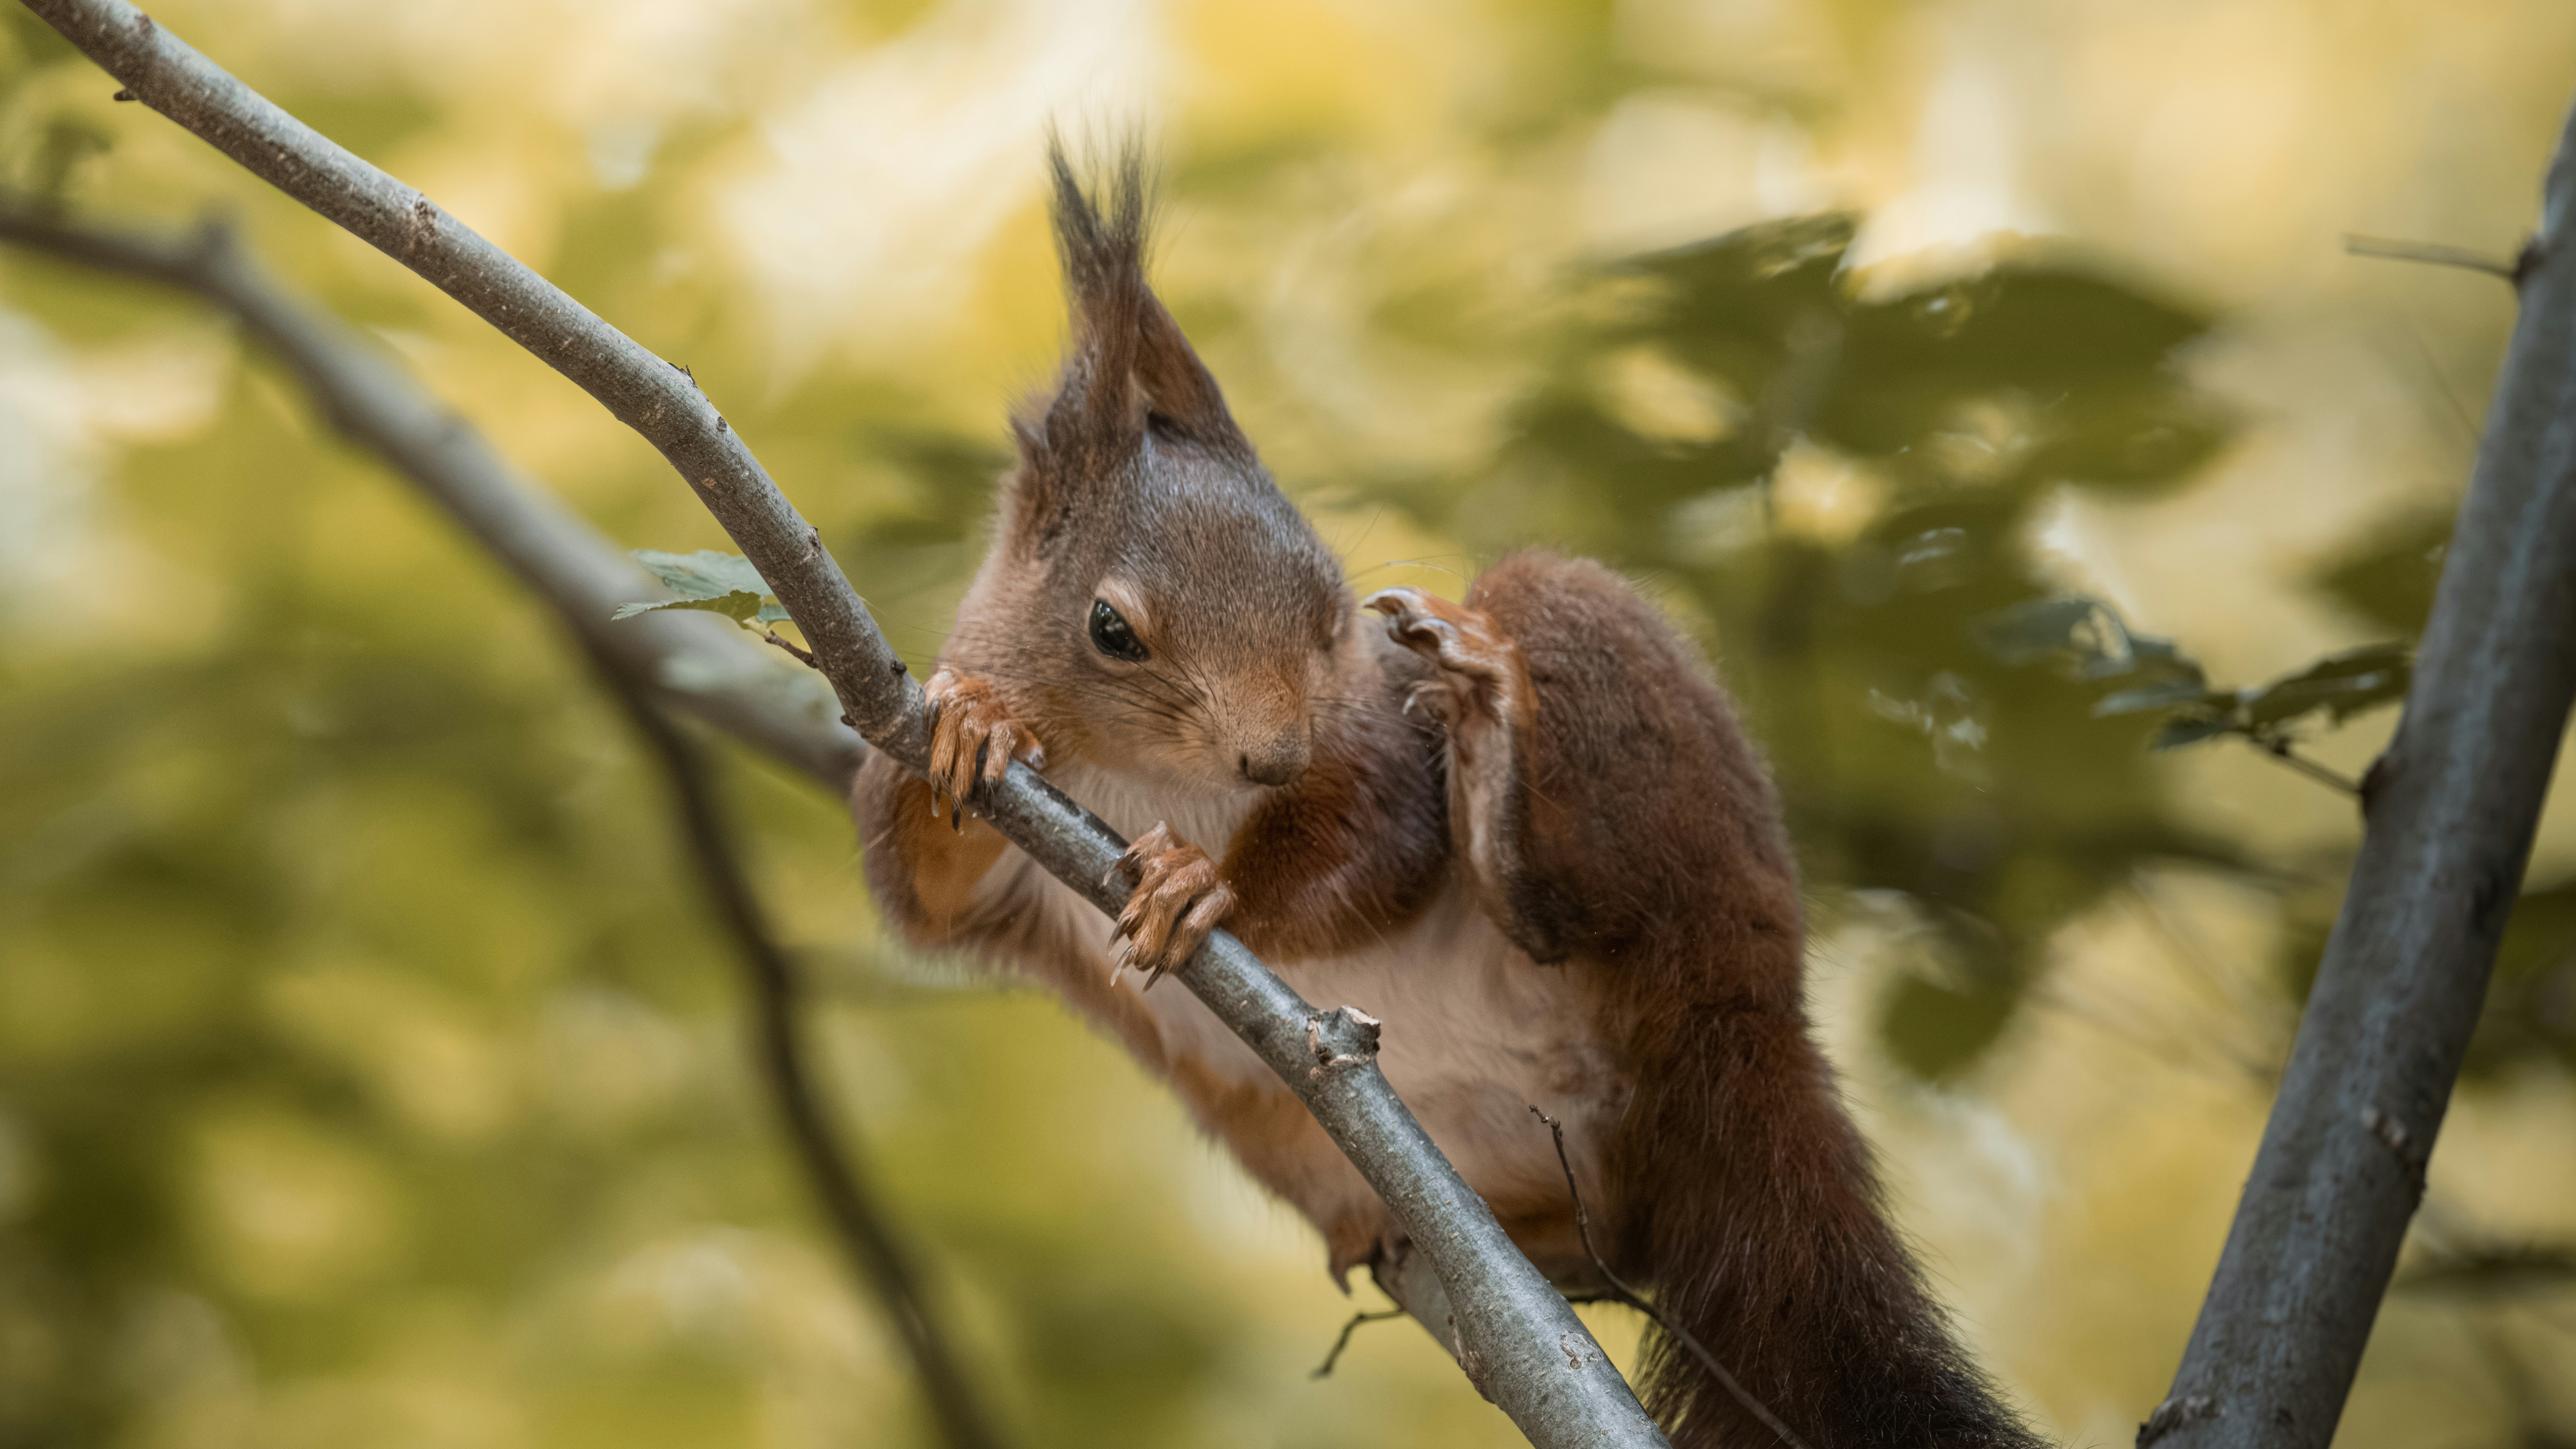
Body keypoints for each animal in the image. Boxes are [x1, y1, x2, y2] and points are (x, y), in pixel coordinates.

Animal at [851, 145, 2043, 1449]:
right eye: (1110, 631)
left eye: (1330, 609)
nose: (1272, 755)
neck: (1158, 774)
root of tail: (1749, 1003)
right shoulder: (984, 866)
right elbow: (920, 890)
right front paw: (976, 721)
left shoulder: (1367, 736)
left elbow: (1379, 838)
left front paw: (1205, 880)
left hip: (1619, 725)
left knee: (1580, 902)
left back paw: (1495, 787)